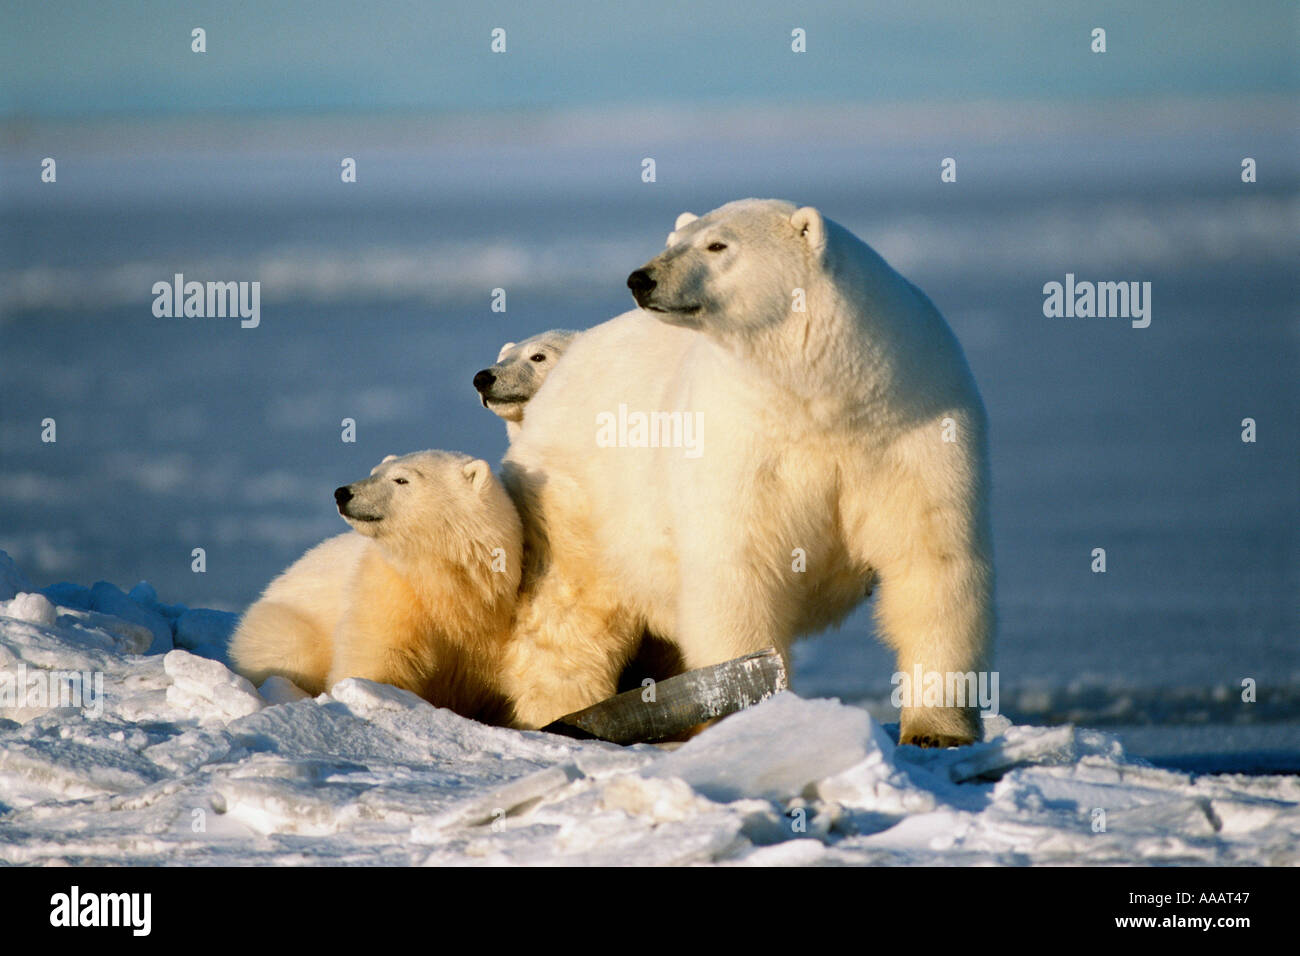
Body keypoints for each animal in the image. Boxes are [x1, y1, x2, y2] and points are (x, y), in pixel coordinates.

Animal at [228, 450, 523, 724]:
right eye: (374, 471)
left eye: (401, 479)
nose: (342, 492)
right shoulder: (390, 589)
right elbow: (378, 656)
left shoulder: (494, 621)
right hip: (283, 621)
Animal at [502, 199, 993, 746]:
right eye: (674, 239)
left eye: (717, 244)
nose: (641, 278)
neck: (824, 399)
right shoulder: (739, 441)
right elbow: (738, 570)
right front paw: (754, 716)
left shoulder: (912, 427)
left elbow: (932, 562)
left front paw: (937, 731)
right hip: (574, 498)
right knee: (570, 612)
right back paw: (563, 711)